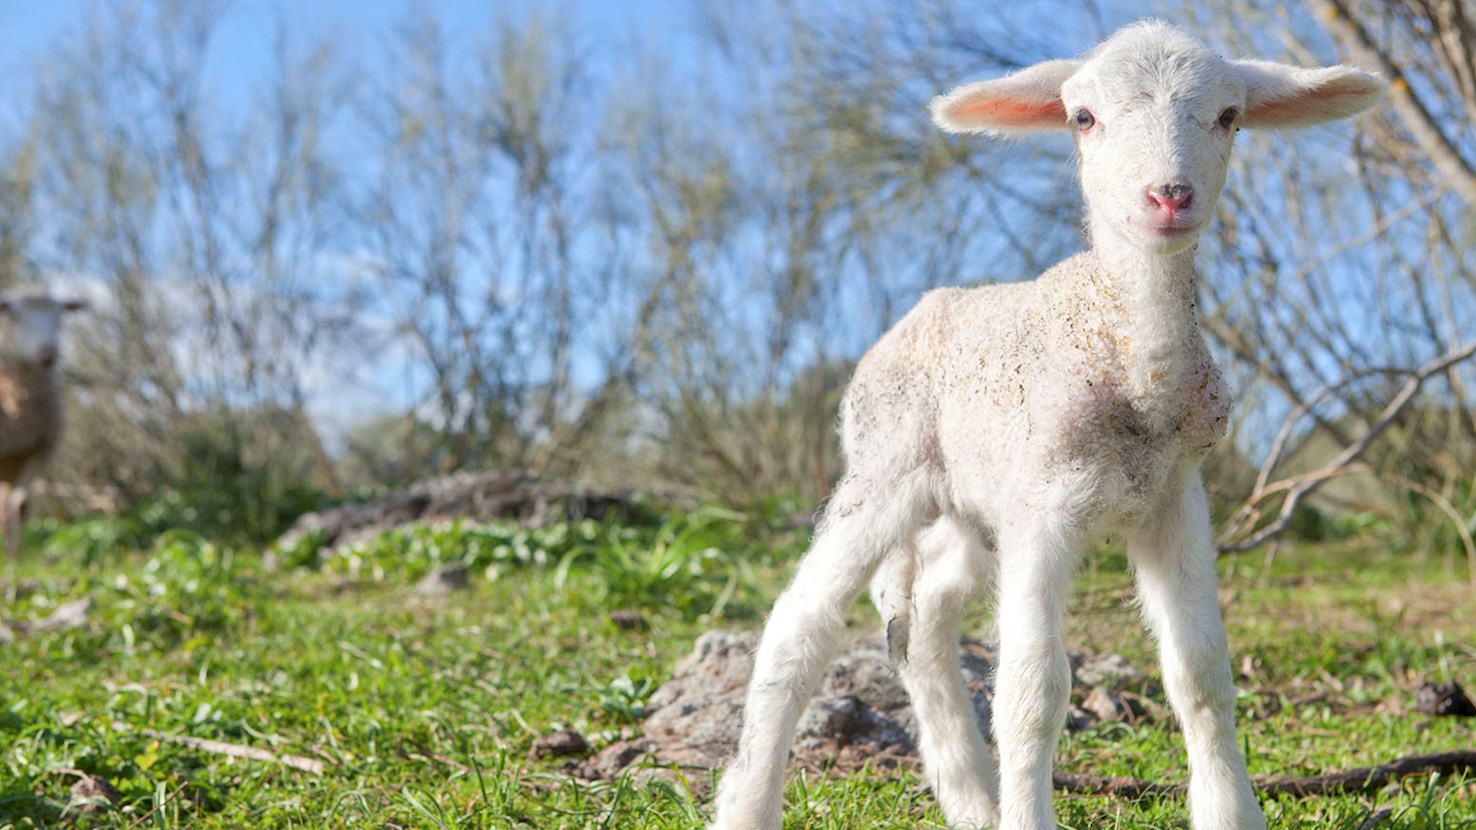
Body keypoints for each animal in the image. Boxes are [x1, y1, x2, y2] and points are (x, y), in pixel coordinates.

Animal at [0, 285, 85, 559]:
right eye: (14, 314)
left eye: (59, 317)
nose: (48, 352)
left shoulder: (41, 451)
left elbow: (20, 506)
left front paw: (15, 558)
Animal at [708, 21, 1385, 830]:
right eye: (1083, 118)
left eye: (1229, 116)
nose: (1169, 196)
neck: (1134, 372)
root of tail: (924, 310)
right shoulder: (1044, 500)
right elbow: (1033, 692)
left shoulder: (1177, 494)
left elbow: (1201, 677)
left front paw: (1232, 812)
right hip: (887, 460)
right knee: (799, 623)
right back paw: (751, 800)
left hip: (973, 511)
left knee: (924, 619)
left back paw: (972, 799)